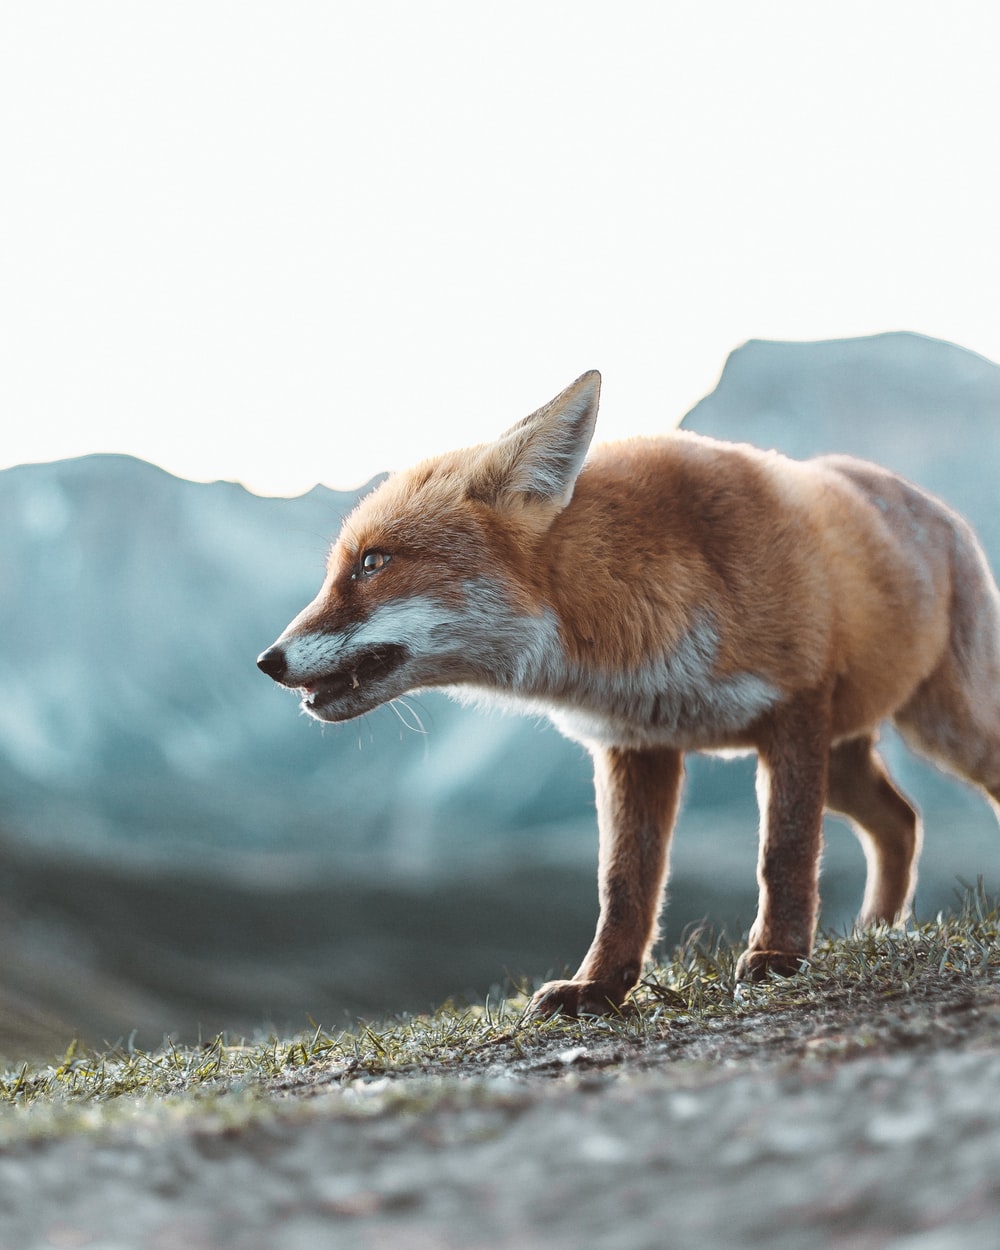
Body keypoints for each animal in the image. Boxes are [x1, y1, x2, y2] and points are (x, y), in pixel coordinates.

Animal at [257, 371, 1000, 1016]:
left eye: (373, 562)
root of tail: (938, 508)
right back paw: (878, 929)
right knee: (901, 821)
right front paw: (600, 989)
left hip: (937, 729)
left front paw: (779, 958)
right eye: (344, 567)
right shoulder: (635, 742)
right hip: (840, 762)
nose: (267, 660)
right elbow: (624, 886)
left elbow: (783, 853)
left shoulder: (791, 711)